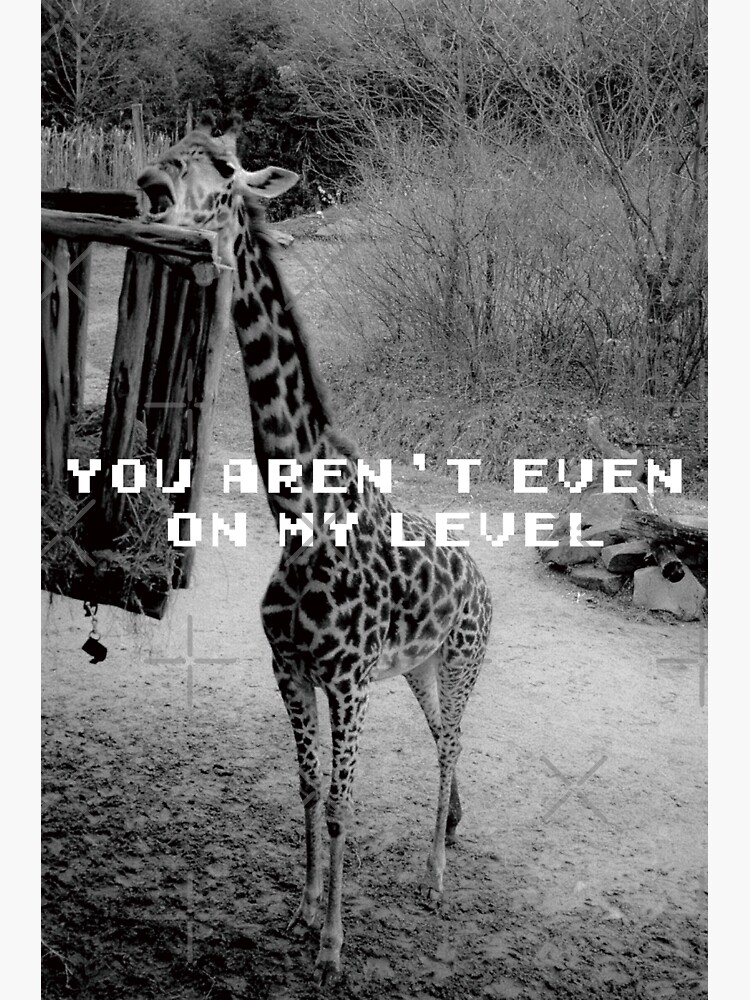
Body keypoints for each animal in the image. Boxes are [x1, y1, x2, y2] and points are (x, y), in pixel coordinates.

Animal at [138, 114, 493, 983]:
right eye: (172, 148)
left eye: (221, 166)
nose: (149, 184)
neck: (300, 521)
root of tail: (483, 582)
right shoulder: (290, 669)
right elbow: (304, 789)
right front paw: (301, 912)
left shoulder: (350, 682)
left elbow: (340, 804)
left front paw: (333, 947)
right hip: (422, 670)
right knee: (444, 740)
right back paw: (451, 832)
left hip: (462, 661)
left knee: (447, 749)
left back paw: (437, 877)